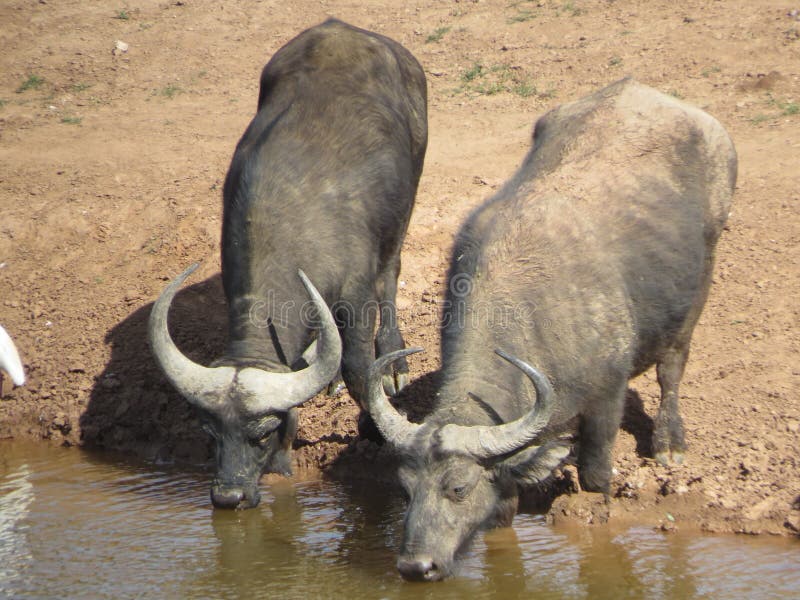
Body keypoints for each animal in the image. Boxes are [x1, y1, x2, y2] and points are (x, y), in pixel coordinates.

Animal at [150, 18, 427, 509]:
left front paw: (374, 426)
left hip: (408, 194)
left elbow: (359, 366)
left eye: (261, 434)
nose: (228, 496)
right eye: (211, 434)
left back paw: (393, 358)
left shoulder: (356, 293)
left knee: (392, 274)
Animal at [367, 77, 736, 580]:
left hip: (703, 274)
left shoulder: (607, 397)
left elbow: (597, 473)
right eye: (405, 489)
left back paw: (669, 442)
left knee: (673, 366)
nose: (414, 565)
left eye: (458, 488)